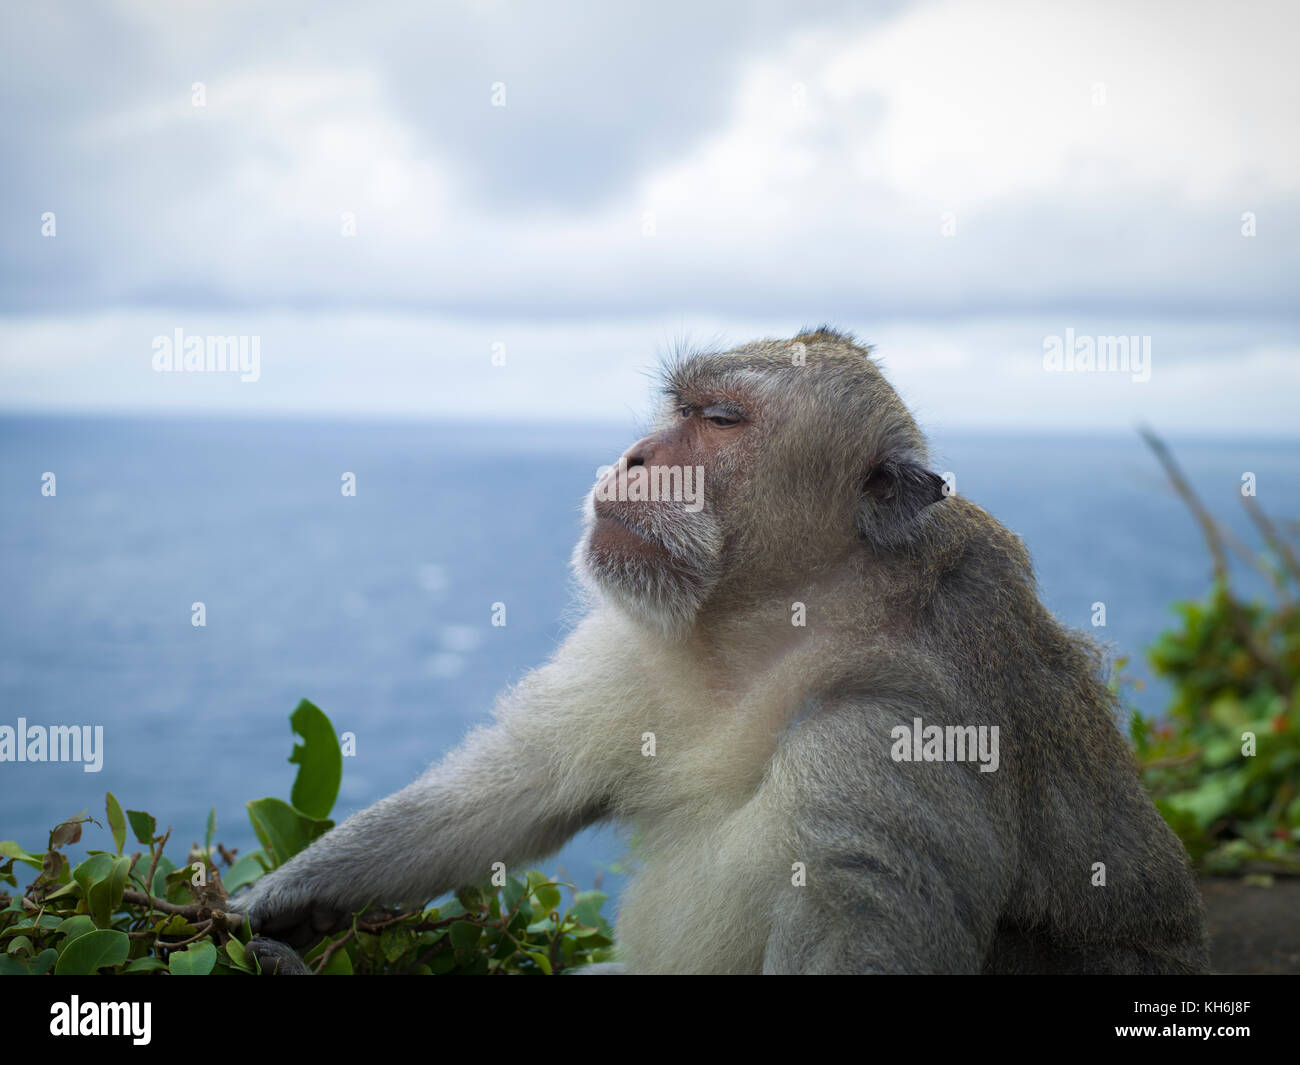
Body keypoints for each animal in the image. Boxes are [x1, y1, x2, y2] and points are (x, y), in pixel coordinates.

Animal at [231, 328, 1209, 974]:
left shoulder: (884, 745)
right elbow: (522, 787)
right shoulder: (646, 646)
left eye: (723, 418)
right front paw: (276, 904)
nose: (635, 457)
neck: (780, 623)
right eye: (677, 408)